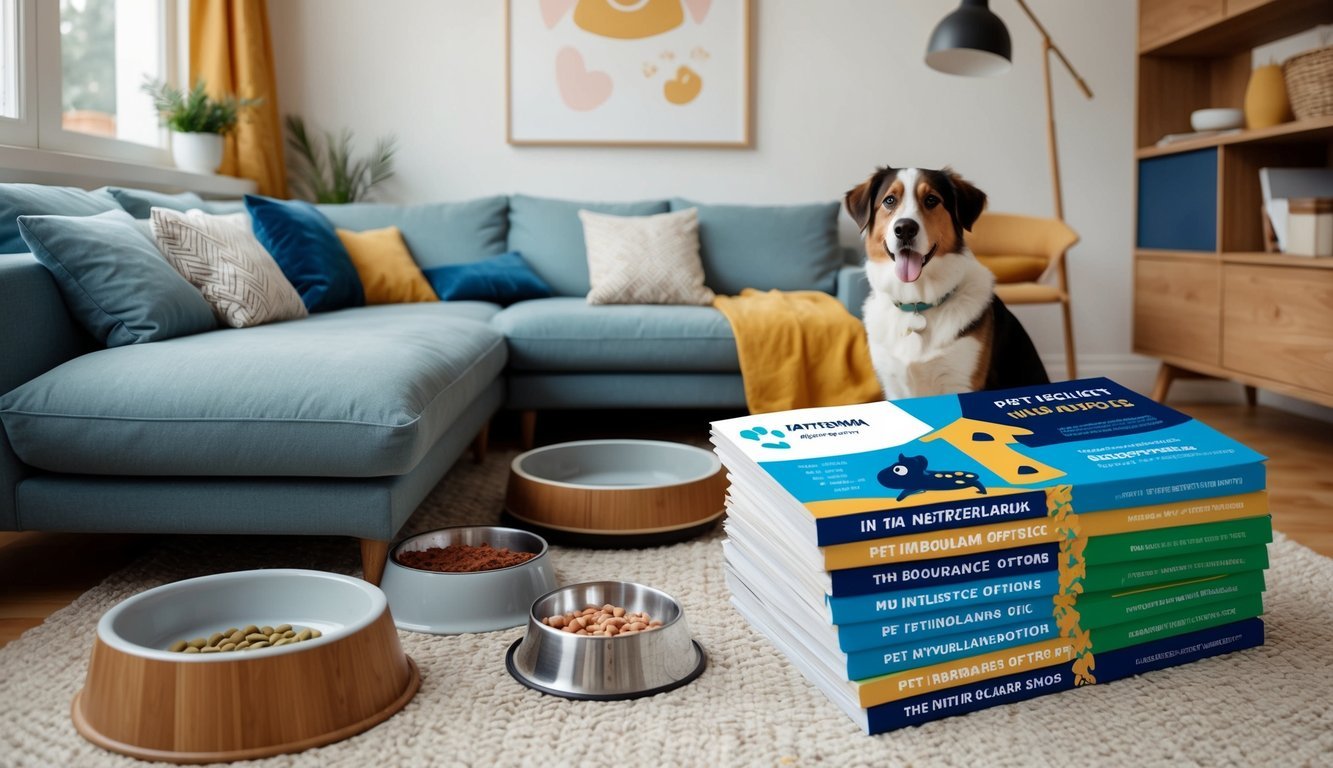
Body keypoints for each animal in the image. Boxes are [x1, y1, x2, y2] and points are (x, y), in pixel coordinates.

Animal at [842, 165, 1050, 400]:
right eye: (889, 200)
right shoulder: (894, 386)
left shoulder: (961, 382)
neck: (917, 301)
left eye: (931, 200)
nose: (905, 229)